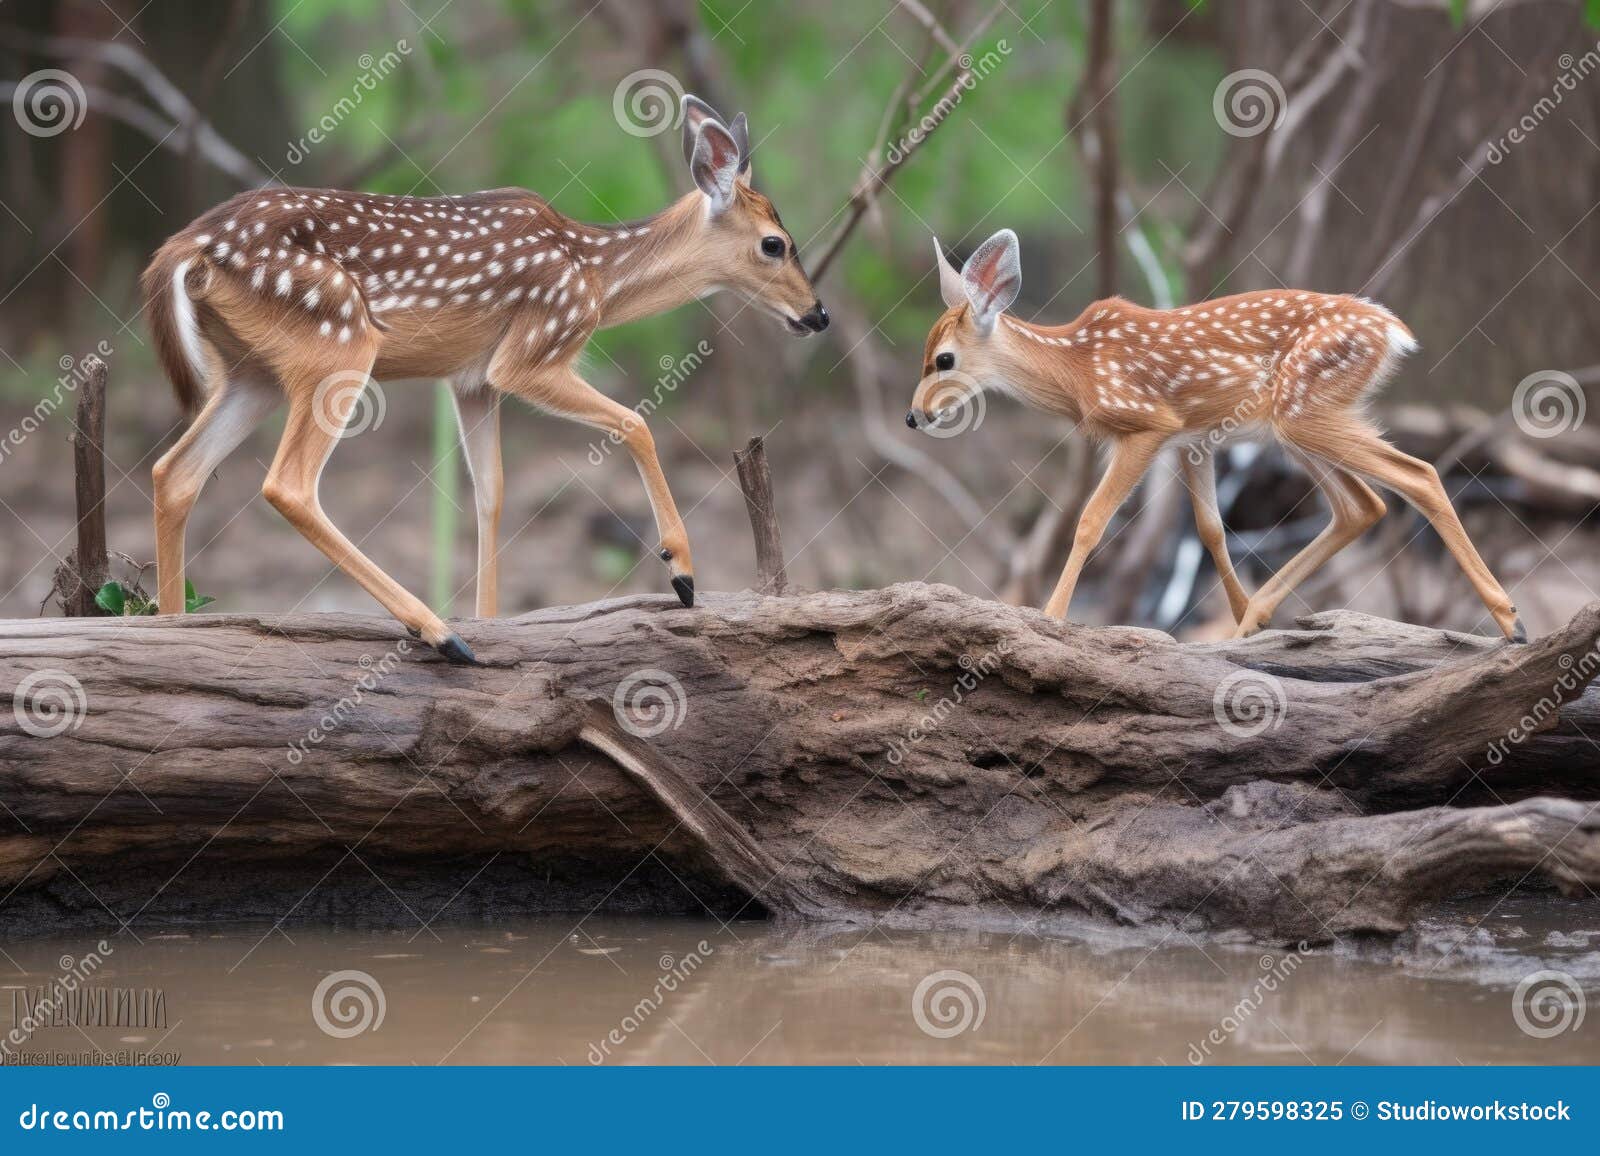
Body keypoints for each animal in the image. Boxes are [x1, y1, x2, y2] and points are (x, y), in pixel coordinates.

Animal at [141, 96, 826, 664]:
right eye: (774, 243)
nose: (818, 315)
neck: (596, 277)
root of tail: (181, 250)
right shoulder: (531, 350)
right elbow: (636, 421)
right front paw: (681, 569)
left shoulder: (472, 381)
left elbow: (490, 492)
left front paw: (493, 619)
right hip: (337, 342)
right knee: (287, 485)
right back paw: (438, 632)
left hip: (252, 371)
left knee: (174, 472)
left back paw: (170, 630)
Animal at [907, 228, 1526, 642]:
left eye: (943, 360)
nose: (914, 417)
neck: (1078, 372)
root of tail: (1394, 331)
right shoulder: (1192, 439)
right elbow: (1209, 530)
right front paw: (1237, 612)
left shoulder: (1148, 425)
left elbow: (1092, 521)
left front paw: (1051, 617)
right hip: (1300, 423)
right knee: (1363, 506)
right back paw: (1255, 619)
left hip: (1303, 409)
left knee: (1417, 474)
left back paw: (1510, 622)